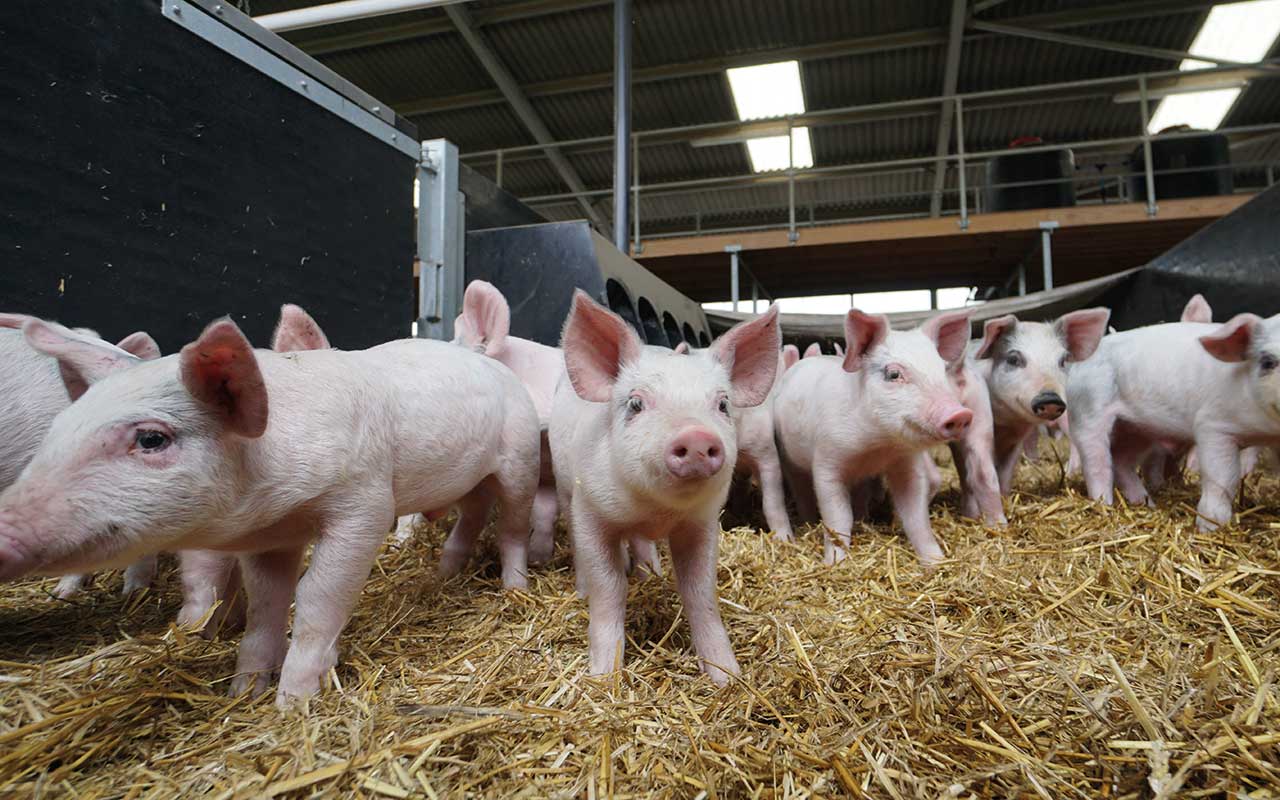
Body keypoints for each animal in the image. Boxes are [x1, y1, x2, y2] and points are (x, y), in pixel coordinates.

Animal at [550, 291, 780, 684]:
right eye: (635, 403)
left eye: (723, 404)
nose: (697, 437)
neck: (656, 511)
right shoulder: (591, 510)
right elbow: (608, 587)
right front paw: (603, 678)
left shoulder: (702, 523)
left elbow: (700, 591)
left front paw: (728, 677)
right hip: (564, 487)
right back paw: (583, 590)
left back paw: (650, 573)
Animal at [773, 309, 974, 566]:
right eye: (894, 374)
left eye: (942, 371)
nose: (960, 414)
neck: (877, 447)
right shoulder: (827, 462)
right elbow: (838, 517)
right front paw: (834, 563)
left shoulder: (907, 463)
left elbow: (916, 516)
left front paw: (936, 562)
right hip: (788, 456)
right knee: (801, 490)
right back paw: (808, 522)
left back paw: (863, 520)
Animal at [968, 309, 1111, 495]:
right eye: (1013, 359)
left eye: (1062, 360)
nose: (1050, 398)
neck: (1005, 421)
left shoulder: (1017, 438)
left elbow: (1006, 472)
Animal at [1066, 312, 1280, 529]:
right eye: (1268, 362)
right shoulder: (1213, 425)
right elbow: (1222, 478)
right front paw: (1210, 527)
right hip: (1088, 412)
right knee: (1097, 463)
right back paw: (1105, 506)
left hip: (1136, 428)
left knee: (1120, 460)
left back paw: (1147, 504)